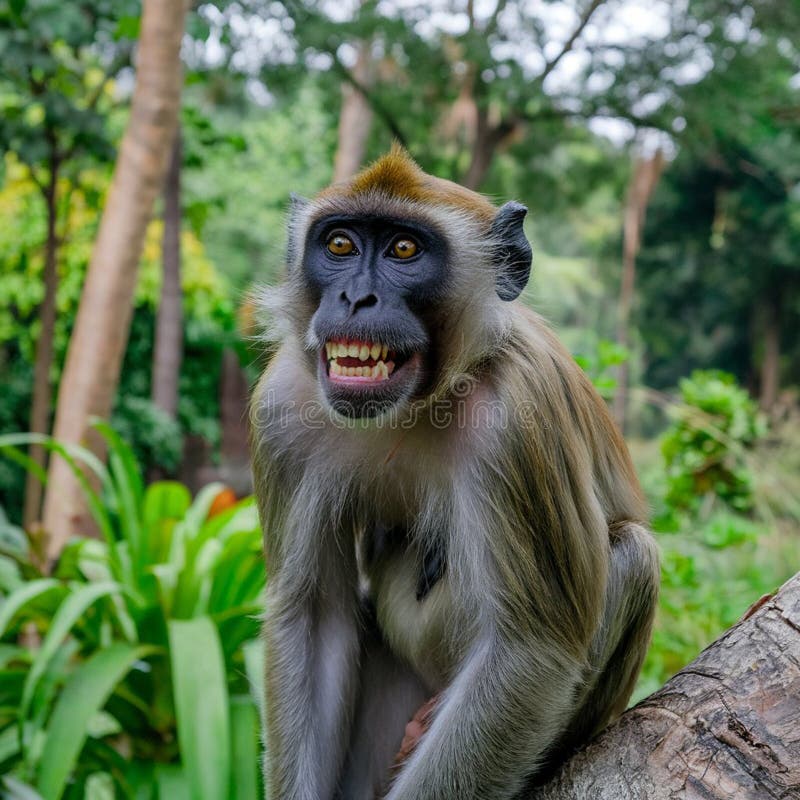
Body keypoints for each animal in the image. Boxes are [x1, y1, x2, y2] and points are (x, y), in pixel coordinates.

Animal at [249, 144, 660, 800]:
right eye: (339, 245)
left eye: (403, 250)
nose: (356, 299)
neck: (420, 401)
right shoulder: (281, 409)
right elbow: (313, 616)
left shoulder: (519, 418)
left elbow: (528, 654)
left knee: (632, 554)